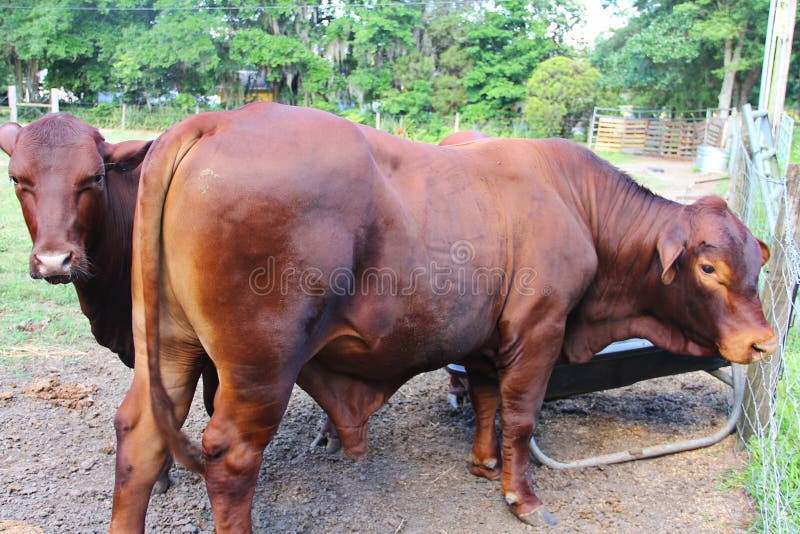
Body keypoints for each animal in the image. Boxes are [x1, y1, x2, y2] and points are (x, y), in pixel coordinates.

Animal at [111, 102, 776, 532]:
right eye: (708, 268)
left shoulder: (485, 336)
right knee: (230, 457)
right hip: (260, 366)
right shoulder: (539, 330)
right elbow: (521, 418)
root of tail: (217, 119)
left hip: (170, 345)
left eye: (756, 263)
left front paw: (483, 464)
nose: (764, 342)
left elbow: (484, 399)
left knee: (139, 436)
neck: (580, 207)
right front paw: (522, 497)